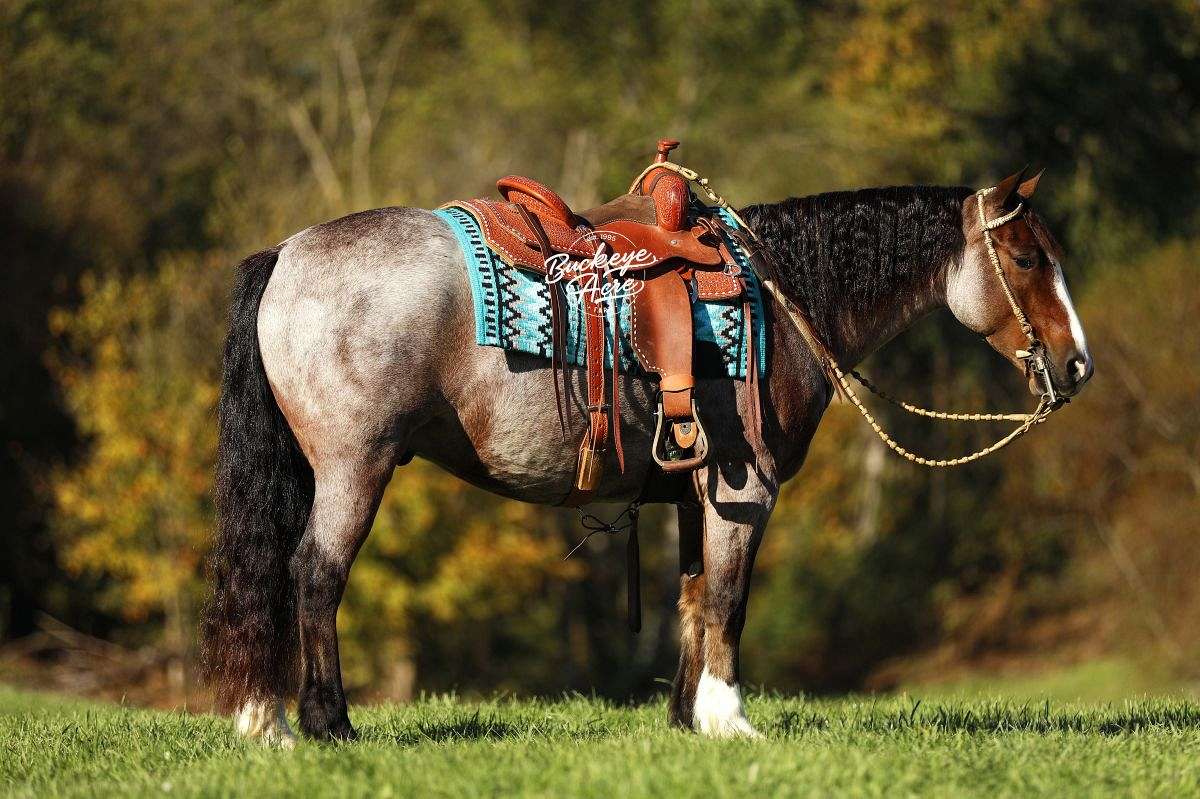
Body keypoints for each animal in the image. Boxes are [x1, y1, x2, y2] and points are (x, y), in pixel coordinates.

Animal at [200, 167, 1092, 745]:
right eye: (1026, 258)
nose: (1077, 364)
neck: (779, 299)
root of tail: (286, 254)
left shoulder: (699, 493)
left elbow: (694, 597)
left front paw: (687, 719)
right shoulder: (747, 486)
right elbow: (729, 598)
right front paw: (731, 719)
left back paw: (265, 718)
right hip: (356, 467)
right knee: (316, 572)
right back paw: (326, 722)